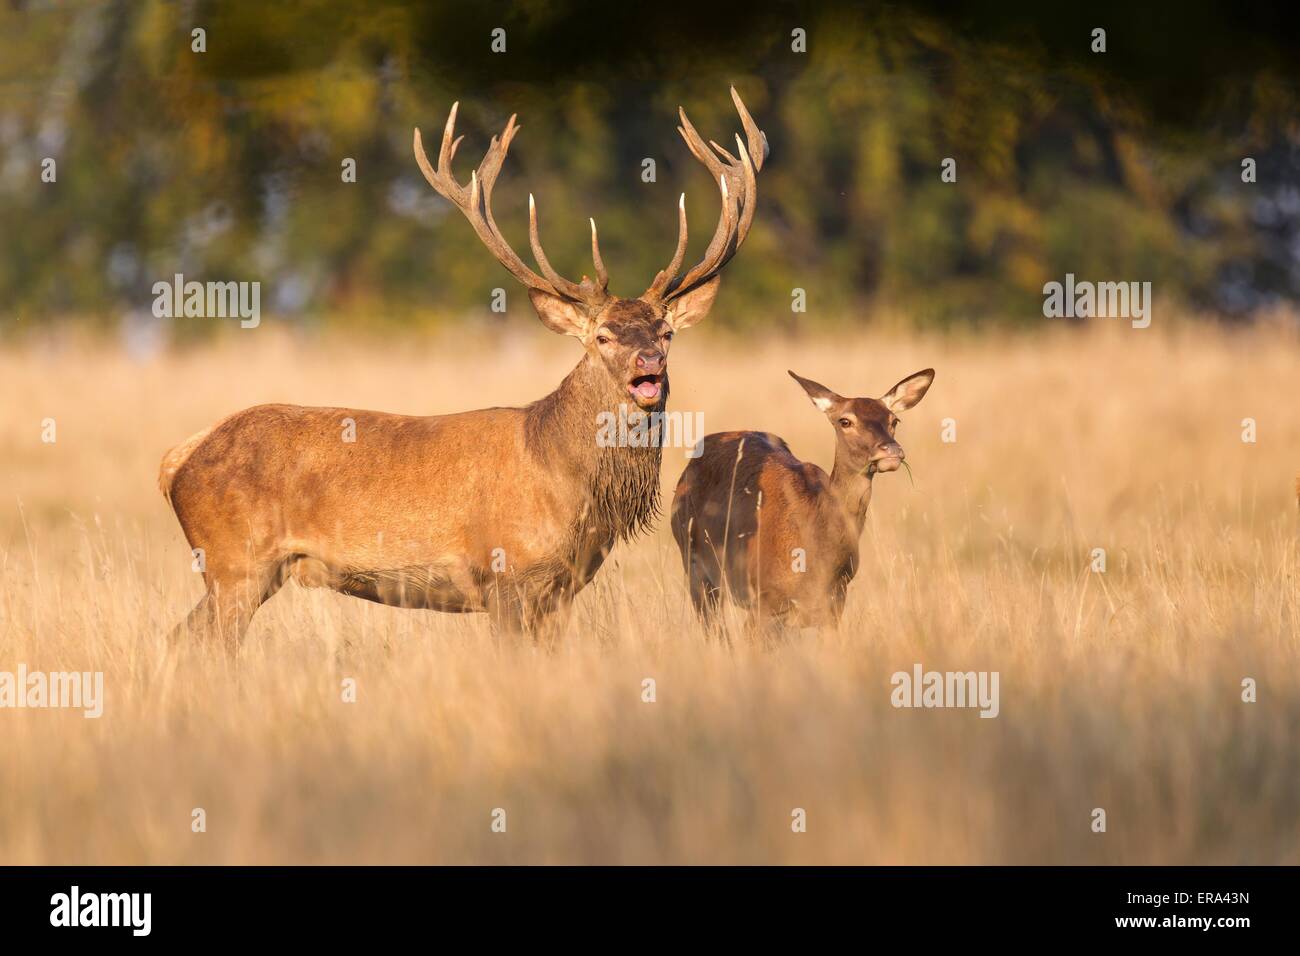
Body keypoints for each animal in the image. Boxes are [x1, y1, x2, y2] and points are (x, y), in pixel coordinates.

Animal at [159, 88, 769, 651]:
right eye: (602, 336)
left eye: (666, 332)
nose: (650, 363)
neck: (566, 482)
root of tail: (177, 460)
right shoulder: (505, 578)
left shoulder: (561, 592)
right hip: (236, 563)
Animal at [670, 367, 934, 628]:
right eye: (845, 421)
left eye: (894, 420)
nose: (891, 449)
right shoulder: (763, 600)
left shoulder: (835, 604)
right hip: (694, 567)